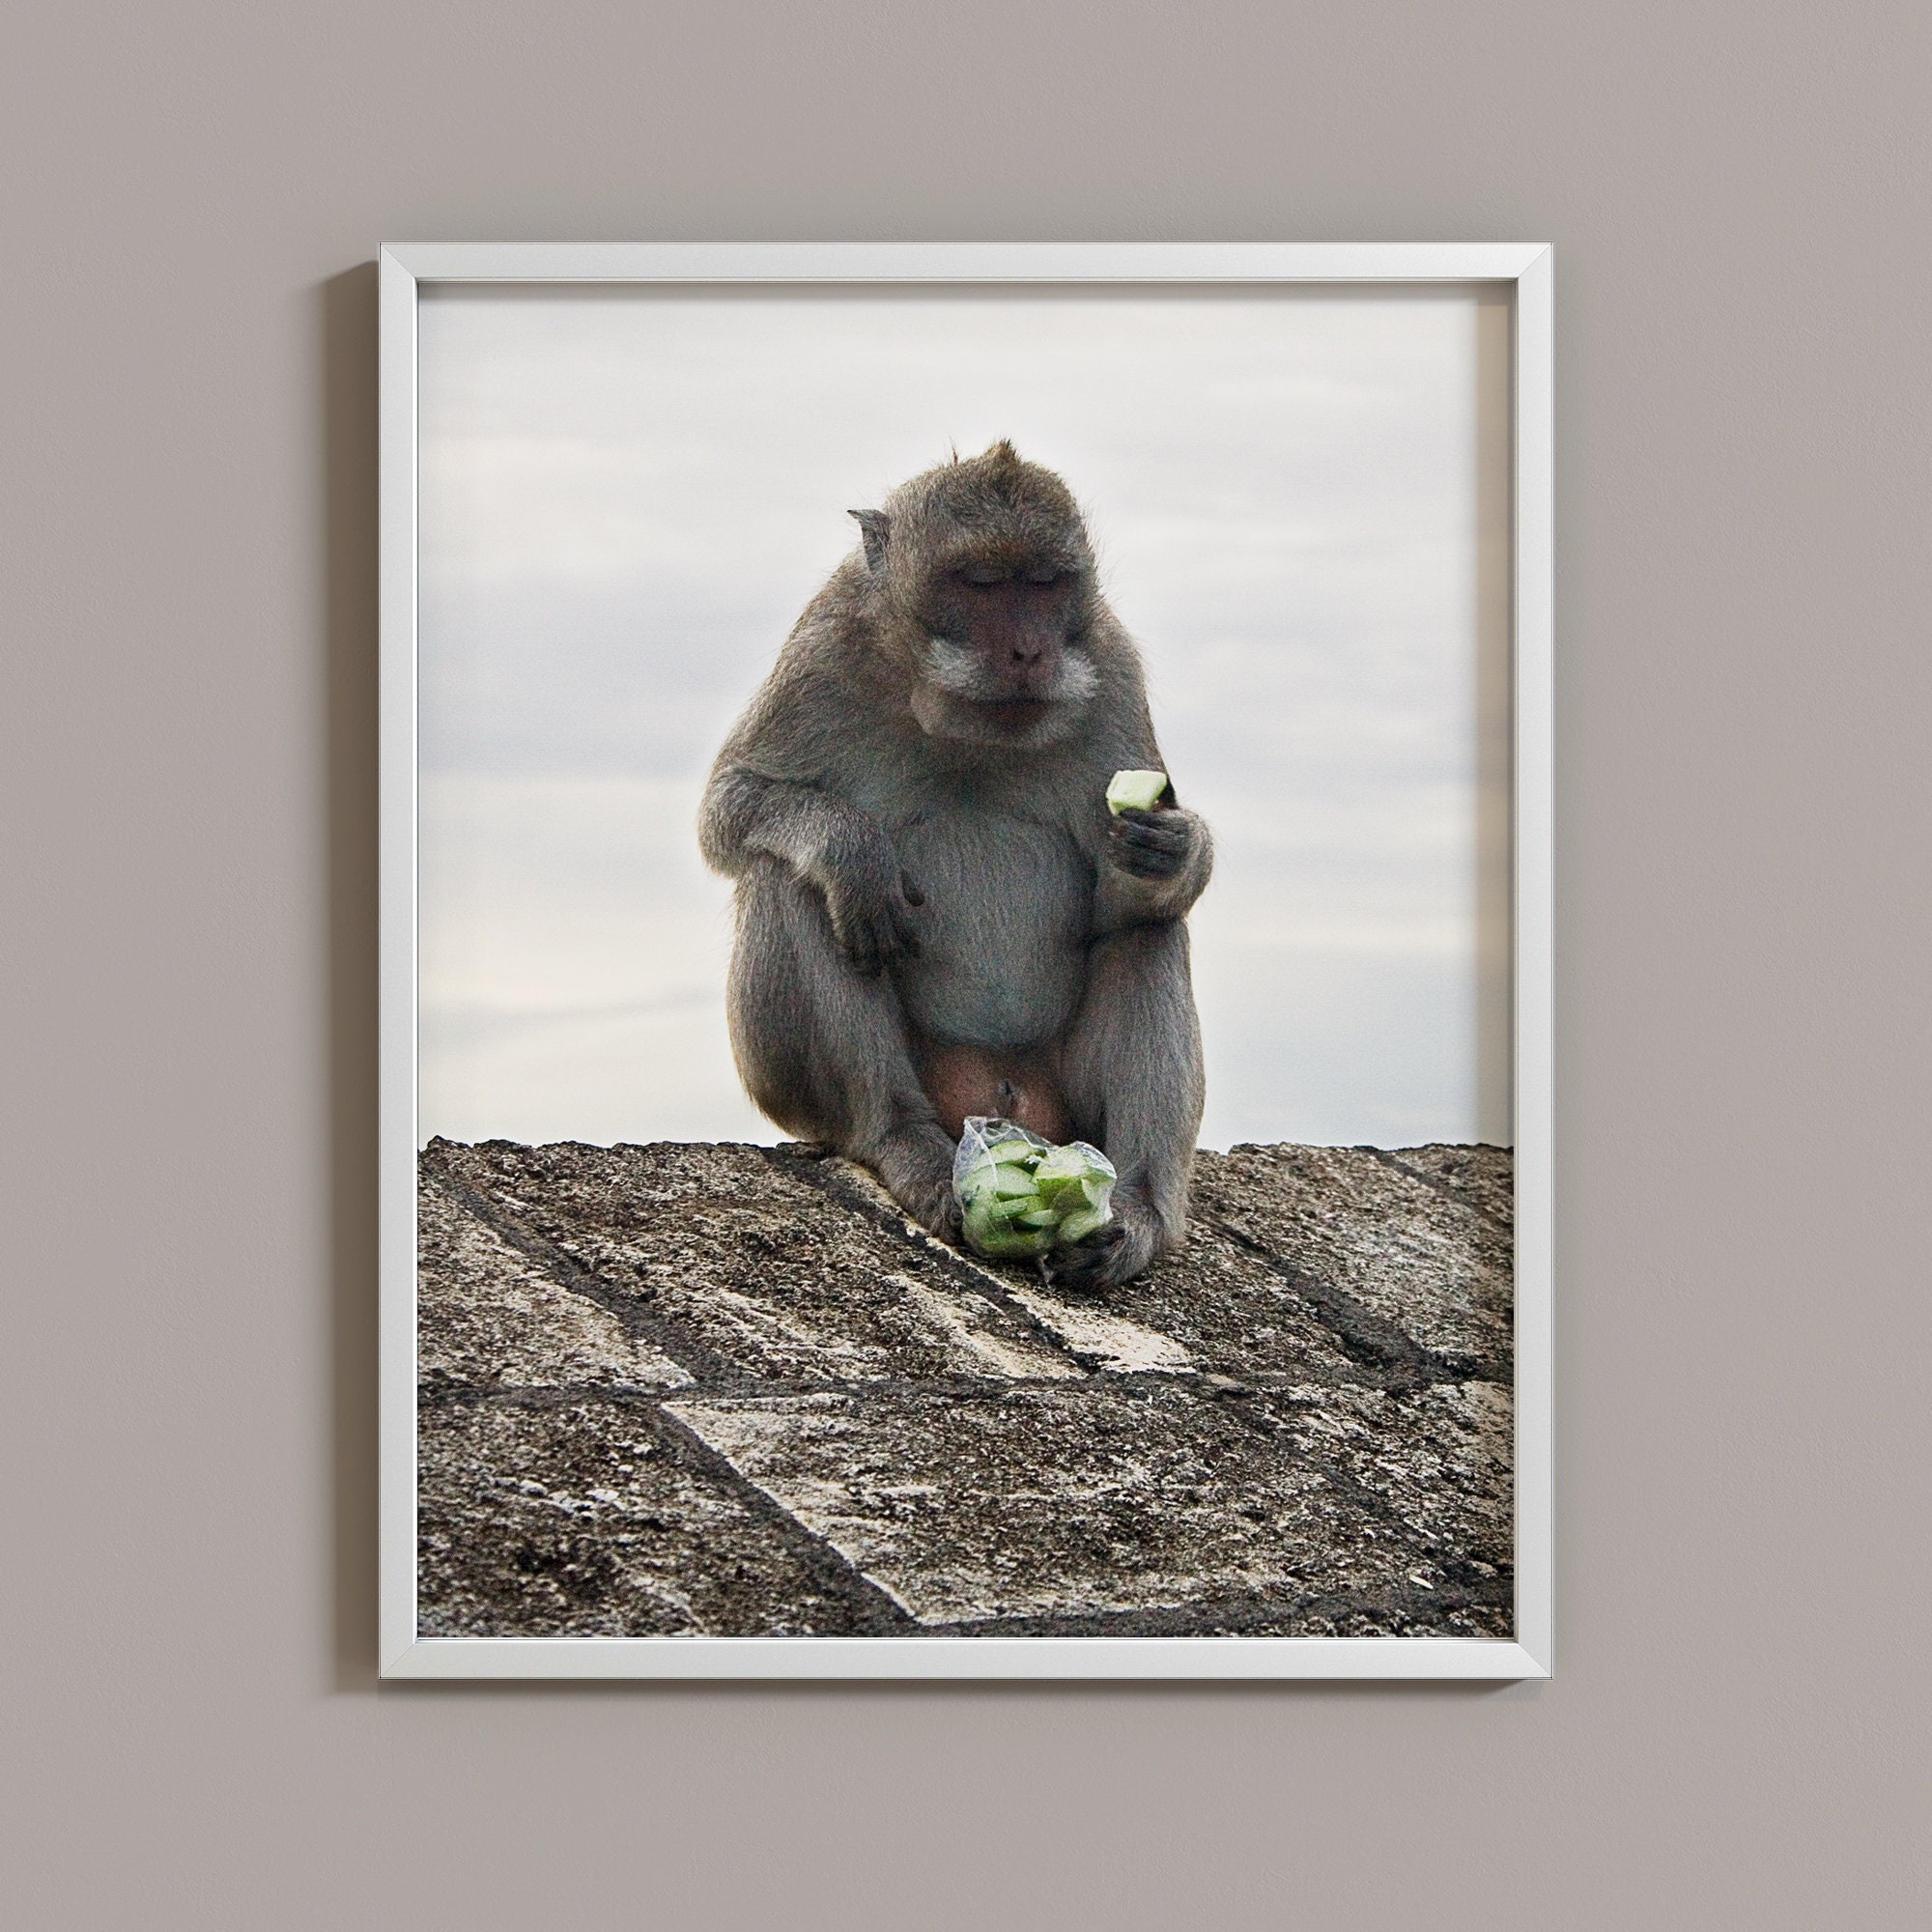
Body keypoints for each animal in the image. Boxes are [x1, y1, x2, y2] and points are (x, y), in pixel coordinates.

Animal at [699, 441, 1211, 1289]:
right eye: (981, 583)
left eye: (1045, 583)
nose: (1030, 650)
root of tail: (1002, 1095)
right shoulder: (823, 648)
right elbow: (731, 807)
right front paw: (852, 850)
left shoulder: (1112, 667)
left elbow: (1122, 903)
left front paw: (1176, 848)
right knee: (792, 883)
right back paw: (901, 1139)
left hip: (1063, 1095)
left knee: (1149, 932)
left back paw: (1137, 1210)